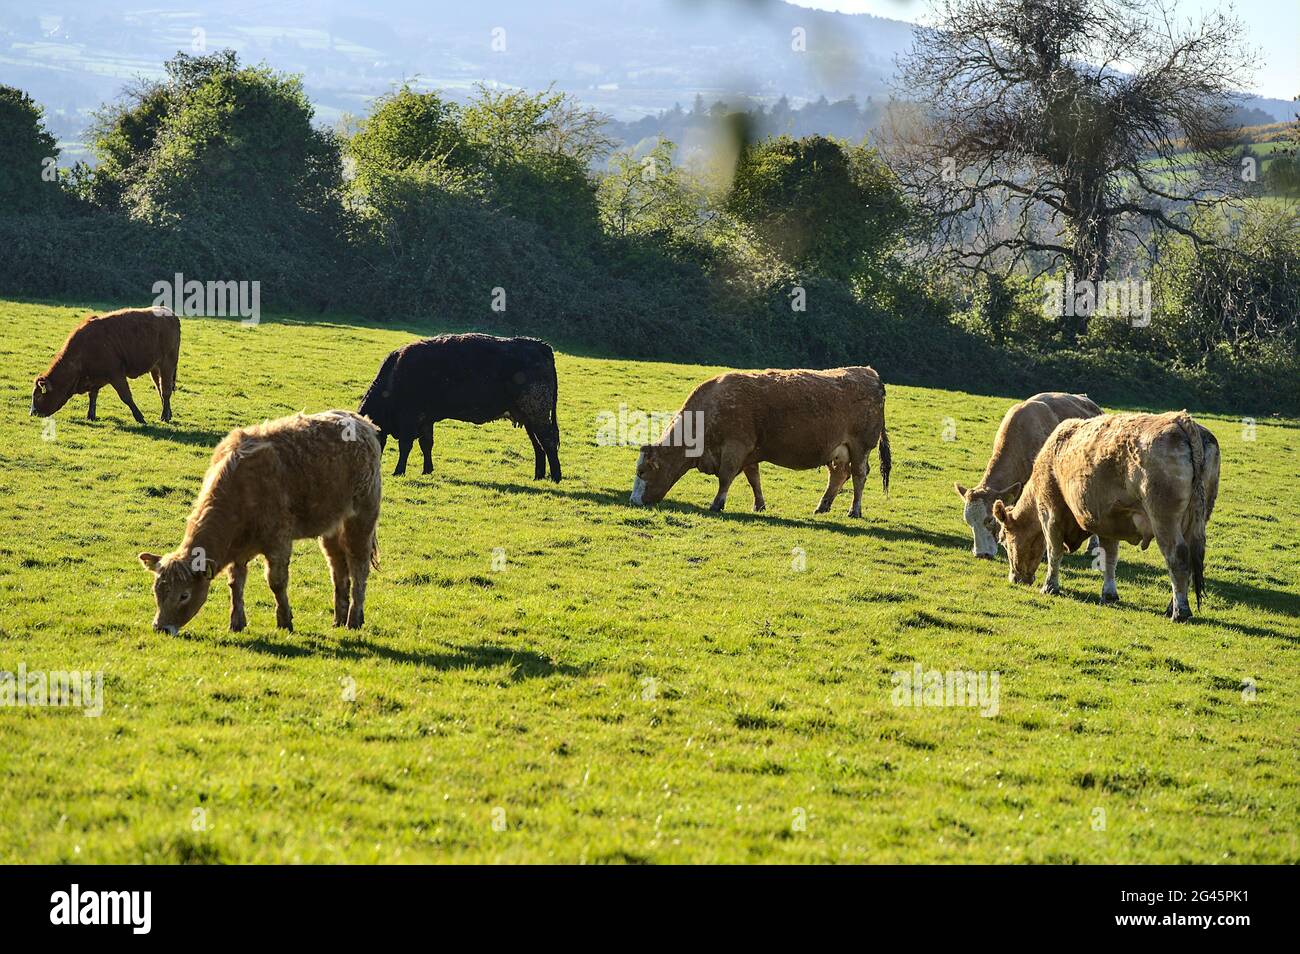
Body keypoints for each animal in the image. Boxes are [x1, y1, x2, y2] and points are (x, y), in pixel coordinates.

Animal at [30, 307, 181, 424]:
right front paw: (91, 415)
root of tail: (170, 313)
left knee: (166, 391)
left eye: (38, 396)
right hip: (155, 369)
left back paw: (164, 416)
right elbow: (93, 396)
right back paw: (168, 414)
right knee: (161, 390)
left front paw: (140, 417)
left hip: (167, 364)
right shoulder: (94, 378)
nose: (32, 413)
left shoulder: (116, 375)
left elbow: (126, 397)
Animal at [139, 410, 382, 633]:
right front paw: (236, 623)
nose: (160, 627)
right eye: (157, 591)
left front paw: (284, 621)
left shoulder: (279, 542)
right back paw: (339, 619)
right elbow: (235, 584)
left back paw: (354, 619)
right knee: (338, 569)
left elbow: (276, 582)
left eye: (184, 595)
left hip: (362, 521)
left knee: (359, 568)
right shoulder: (238, 552)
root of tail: (361, 422)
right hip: (331, 528)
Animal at [358, 334, 561, 481]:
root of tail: (539, 345)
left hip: (537, 413)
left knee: (548, 442)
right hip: (528, 418)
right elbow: (426, 444)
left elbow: (406, 445)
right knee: (538, 445)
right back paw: (538, 476)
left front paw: (399, 471)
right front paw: (427, 470)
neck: (395, 376)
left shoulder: (410, 418)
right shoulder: (425, 420)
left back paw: (556, 477)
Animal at [629, 367, 890, 515]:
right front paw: (759, 505)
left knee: (858, 475)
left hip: (860, 447)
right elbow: (753, 479)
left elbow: (726, 478)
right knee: (838, 475)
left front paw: (717, 504)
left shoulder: (736, 447)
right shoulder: (749, 453)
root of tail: (870, 374)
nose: (633, 501)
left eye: (642, 472)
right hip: (837, 452)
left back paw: (854, 510)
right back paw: (823, 506)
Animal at [992, 411, 1219, 622]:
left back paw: (1180, 611)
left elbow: (1054, 551)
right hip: (1194, 521)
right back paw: (1171, 607)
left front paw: (1050, 586)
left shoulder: (1050, 514)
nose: (1015, 578)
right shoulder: (1109, 524)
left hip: (1164, 520)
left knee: (1178, 557)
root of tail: (1181, 420)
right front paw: (1109, 593)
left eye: (1003, 540)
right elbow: (1110, 557)